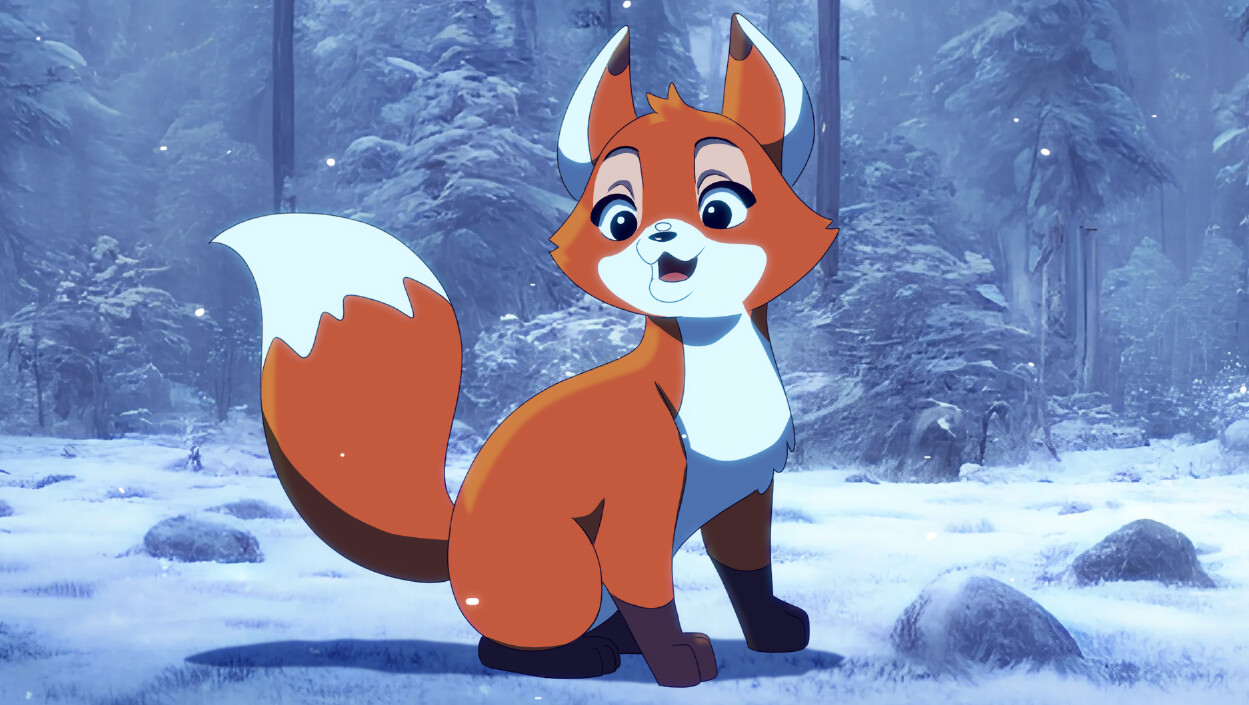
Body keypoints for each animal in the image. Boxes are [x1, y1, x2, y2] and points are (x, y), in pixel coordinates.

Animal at [212, 14, 836, 688]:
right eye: (619, 219)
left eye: (720, 208)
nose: (661, 237)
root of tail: (453, 545)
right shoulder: (640, 491)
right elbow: (649, 589)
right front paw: (676, 661)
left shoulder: (746, 493)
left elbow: (749, 574)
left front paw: (773, 632)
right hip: (568, 567)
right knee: (501, 644)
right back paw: (585, 656)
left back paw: (618, 644)